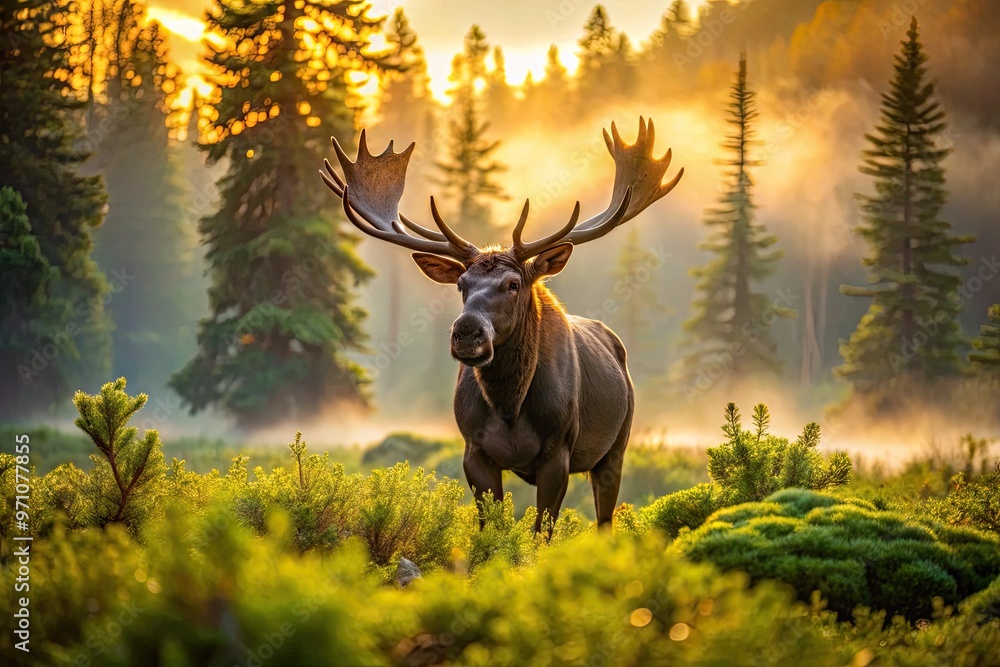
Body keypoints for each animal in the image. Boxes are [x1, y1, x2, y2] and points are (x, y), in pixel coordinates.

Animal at [320, 117, 683, 533]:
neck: (509, 406)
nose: (466, 333)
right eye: (461, 285)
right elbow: (491, 530)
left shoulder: (558, 451)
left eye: (513, 284)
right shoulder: (473, 451)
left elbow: (542, 532)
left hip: (616, 447)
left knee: (605, 519)